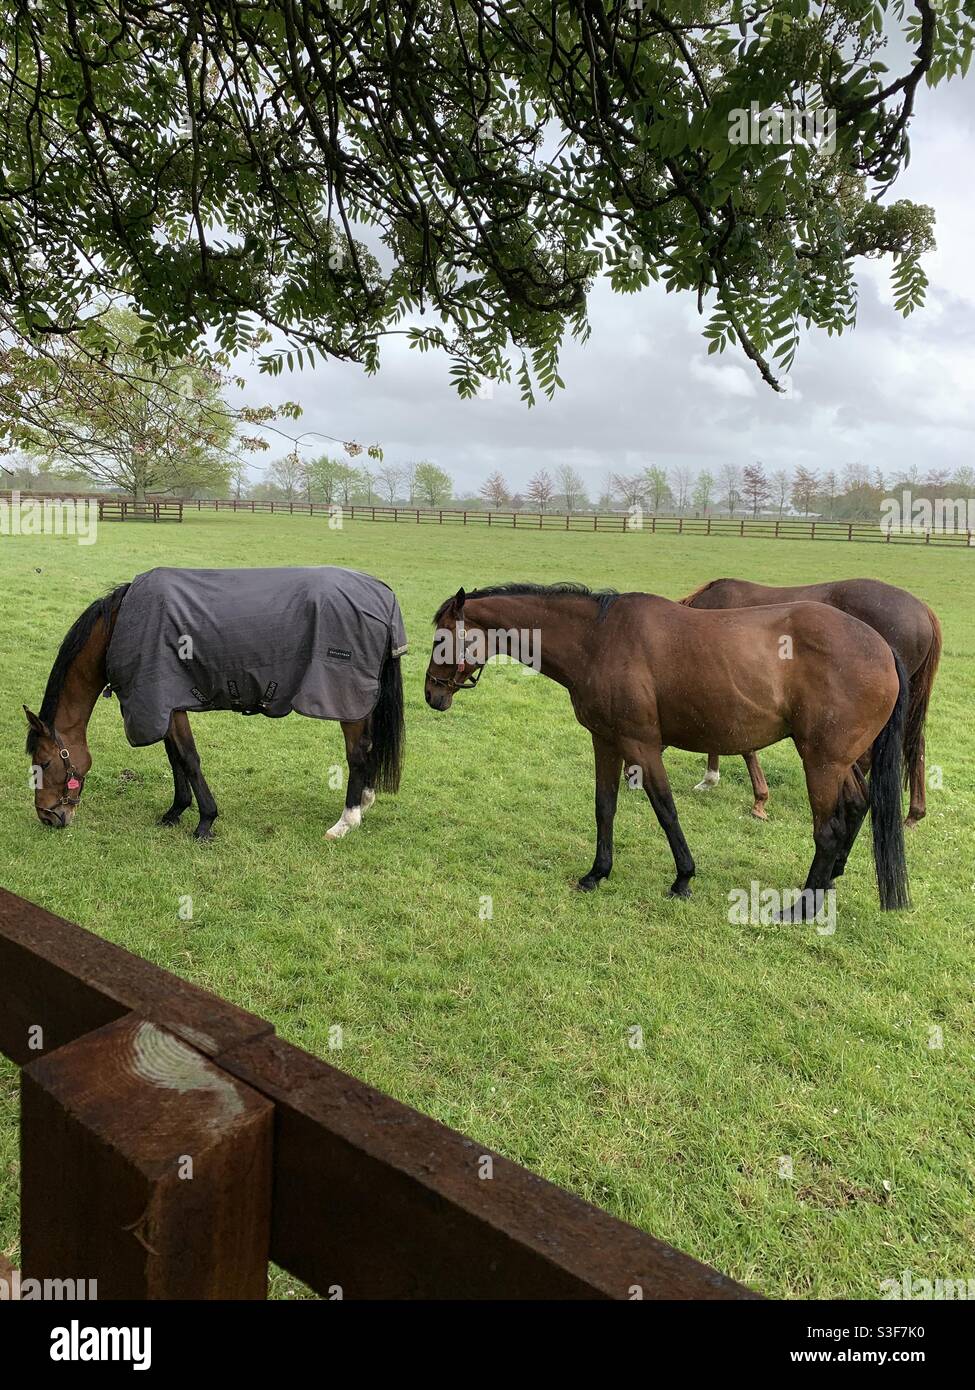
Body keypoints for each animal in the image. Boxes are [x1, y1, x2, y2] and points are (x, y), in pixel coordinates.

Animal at [24, 566, 406, 840]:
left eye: (44, 763)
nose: (47, 816)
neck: (119, 629)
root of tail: (381, 593)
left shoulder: (164, 703)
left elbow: (189, 759)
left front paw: (205, 821)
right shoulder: (166, 705)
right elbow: (176, 758)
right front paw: (175, 812)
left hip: (347, 701)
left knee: (357, 754)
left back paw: (346, 820)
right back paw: (365, 801)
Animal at [424, 583, 910, 916]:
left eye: (441, 639)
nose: (431, 694)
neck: (599, 640)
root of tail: (882, 646)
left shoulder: (642, 746)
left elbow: (665, 809)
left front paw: (683, 878)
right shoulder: (606, 742)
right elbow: (605, 806)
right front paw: (597, 872)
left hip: (821, 762)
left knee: (828, 828)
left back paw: (805, 904)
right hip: (839, 761)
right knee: (857, 804)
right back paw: (832, 877)